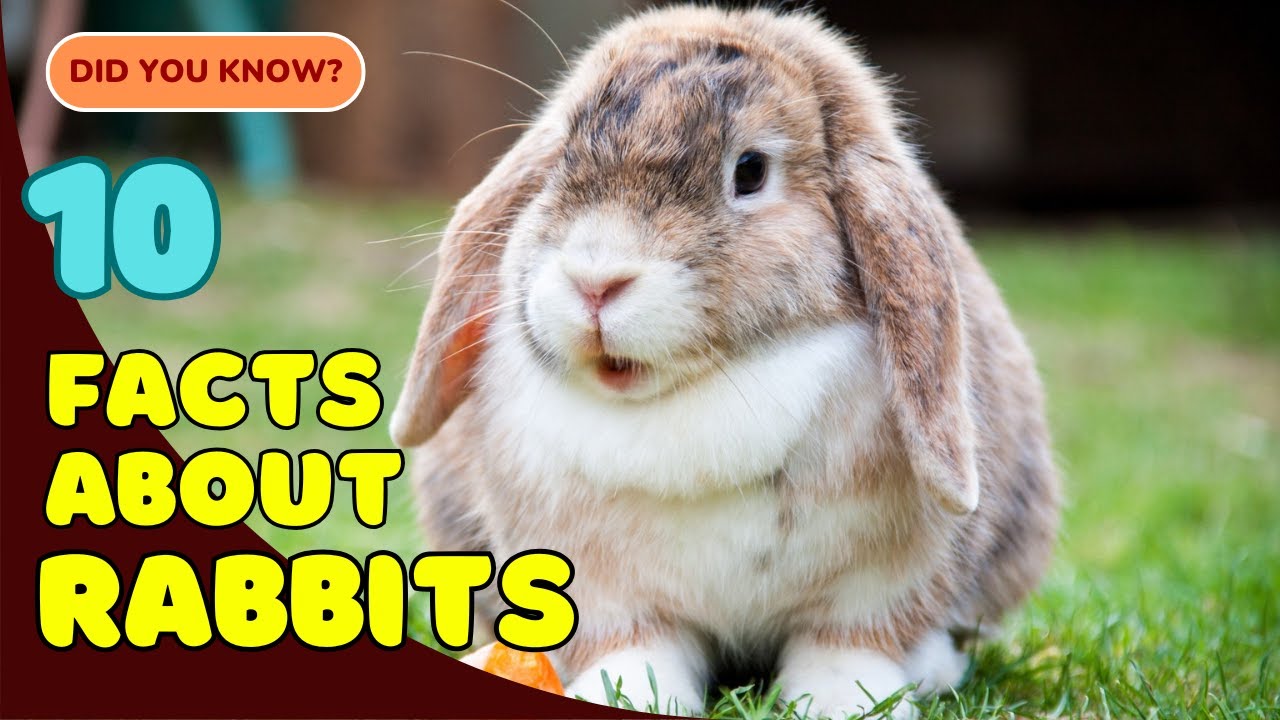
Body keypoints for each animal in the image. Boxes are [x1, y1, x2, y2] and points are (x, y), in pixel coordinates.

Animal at [391, 5, 1059, 718]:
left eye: (751, 171)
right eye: (562, 156)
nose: (595, 281)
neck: (696, 393)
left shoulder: (878, 584)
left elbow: (848, 642)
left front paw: (844, 701)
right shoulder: (599, 587)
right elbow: (635, 644)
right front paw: (631, 694)